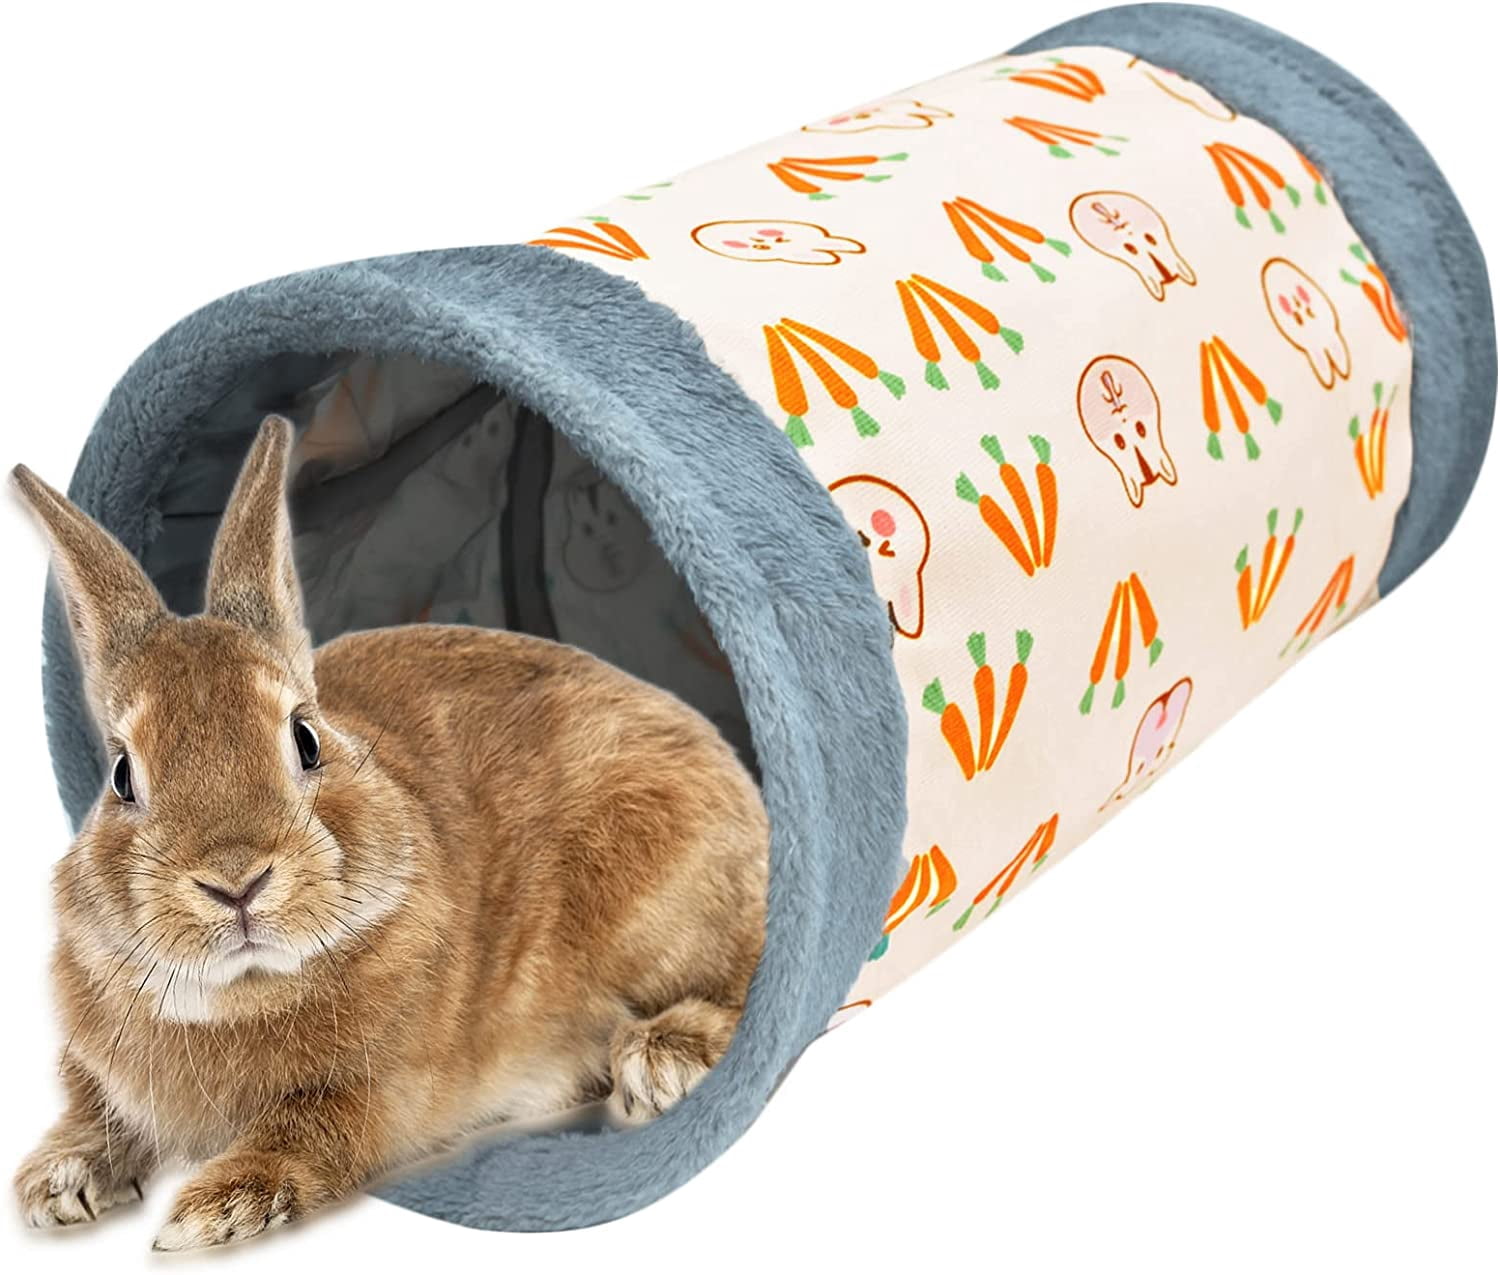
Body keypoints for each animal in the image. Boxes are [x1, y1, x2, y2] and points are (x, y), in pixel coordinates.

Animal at [10, 415, 769, 1251]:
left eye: (305, 738)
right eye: (121, 774)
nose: (237, 880)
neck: (243, 990)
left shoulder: (384, 1091)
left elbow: (311, 1129)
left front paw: (212, 1211)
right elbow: (95, 1111)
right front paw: (55, 1182)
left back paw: (661, 1057)